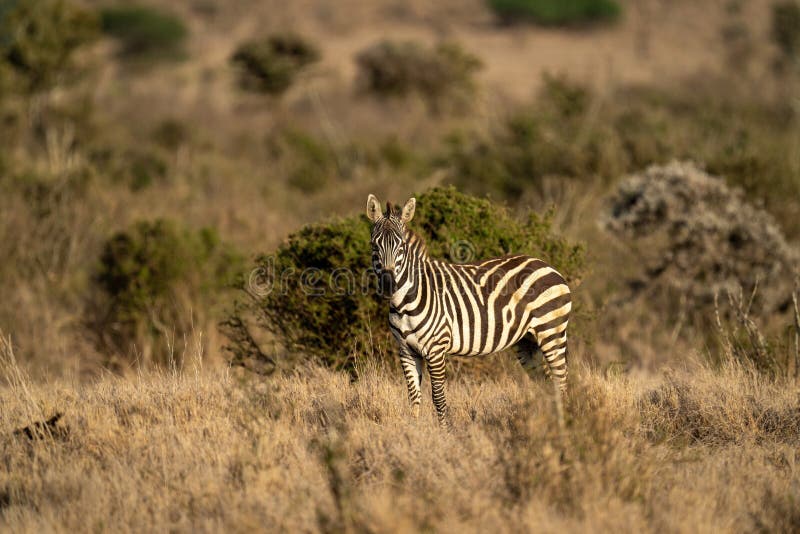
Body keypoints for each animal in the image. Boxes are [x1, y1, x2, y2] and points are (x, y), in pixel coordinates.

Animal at [367, 194, 572, 427]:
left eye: (400, 246)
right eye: (374, 245)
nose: (388, 285)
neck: (404, 303)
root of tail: (546, 265)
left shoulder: (436, 348)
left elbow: (438, 397)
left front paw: (444, 432)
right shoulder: (406, 351)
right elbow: (414, 398)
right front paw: (414, 430)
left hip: (551, 332)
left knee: (561, 382)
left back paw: (565, 424)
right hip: (527, 341)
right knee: (547, 383)